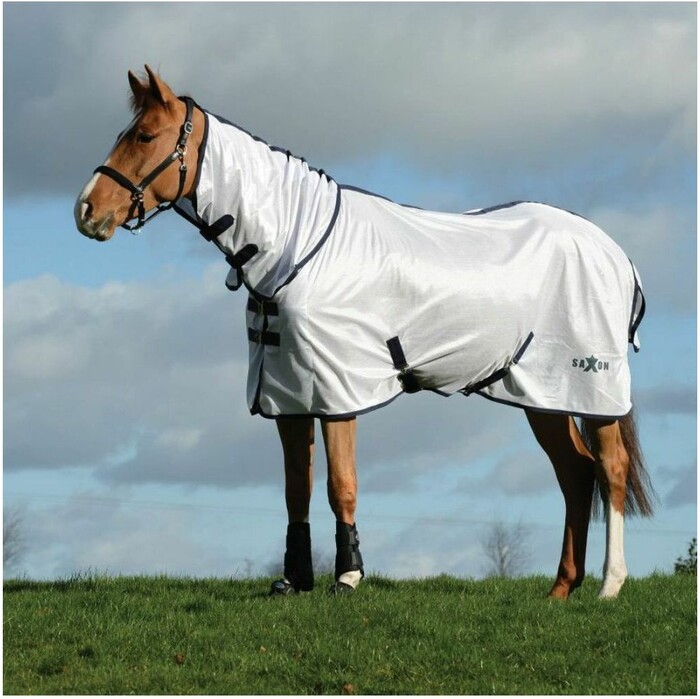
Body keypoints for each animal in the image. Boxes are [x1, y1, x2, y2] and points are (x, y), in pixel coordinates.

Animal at [75, 66, 654, 599]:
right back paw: (560, 591)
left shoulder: (337, 389)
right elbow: (296, 489)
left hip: (591, 387)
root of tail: (617, 254)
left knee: (610, 468)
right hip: (541, 393)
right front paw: (294, 580)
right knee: (575, 474)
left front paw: (348, 575)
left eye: (145, 136)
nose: (86, 211)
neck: (298, 245)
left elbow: (340, 485)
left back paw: (609, 586)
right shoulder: (287, 395)